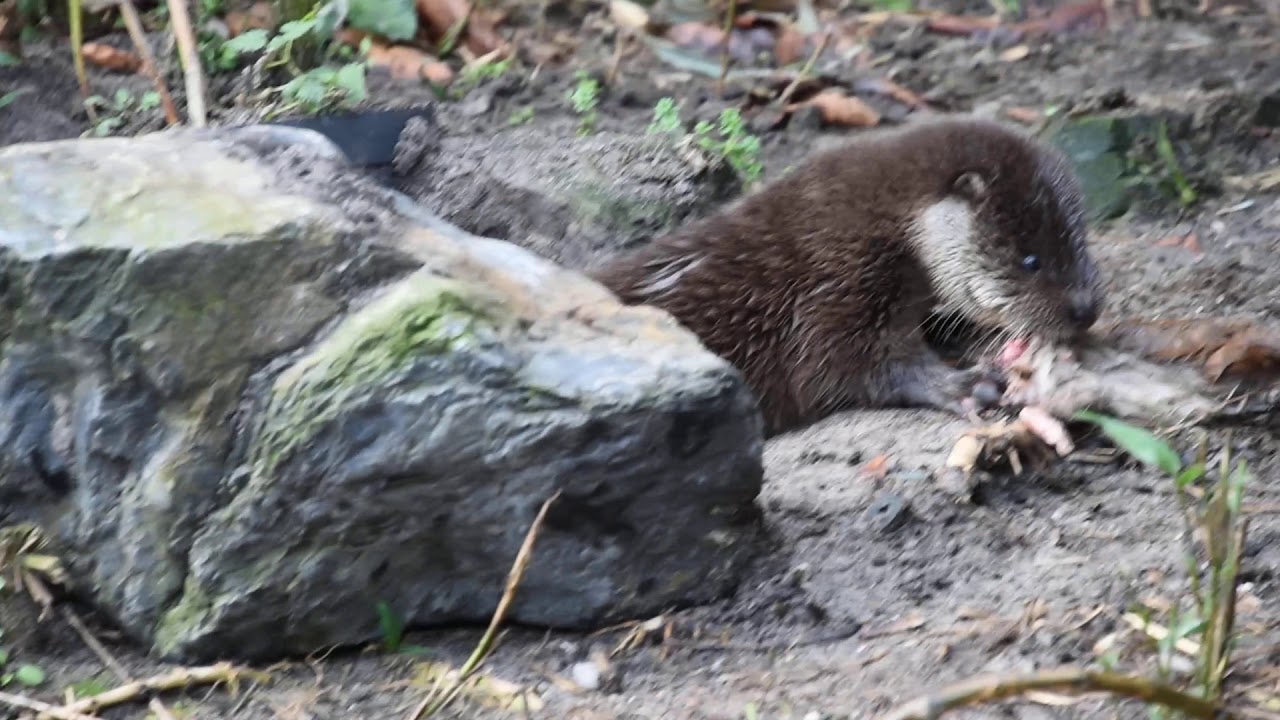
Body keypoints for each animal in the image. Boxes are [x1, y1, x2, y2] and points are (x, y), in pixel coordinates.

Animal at [590, 116, 1105, 436]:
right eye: (1031, 261)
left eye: (1081, 242)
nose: (1085, 308)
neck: (887, 221)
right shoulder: (836, 279)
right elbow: (837, 366)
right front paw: (961, 384)